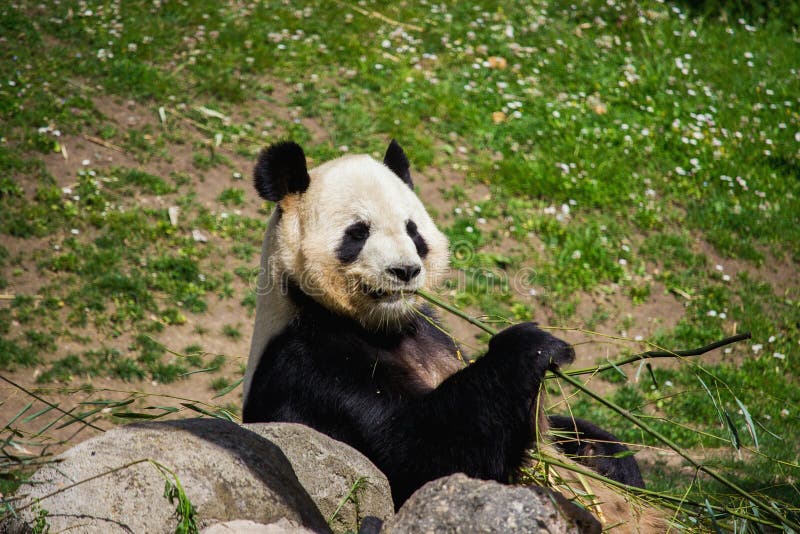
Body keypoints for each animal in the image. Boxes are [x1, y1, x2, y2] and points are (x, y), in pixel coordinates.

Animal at [242, 140, 660, 528]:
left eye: (413, 231)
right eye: (357, 233)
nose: (405, 271)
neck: (381, 327)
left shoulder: (433, 331)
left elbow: (558, 431)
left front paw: (610, 460)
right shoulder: (311, 366)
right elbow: (419, 456)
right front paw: (533, 347)